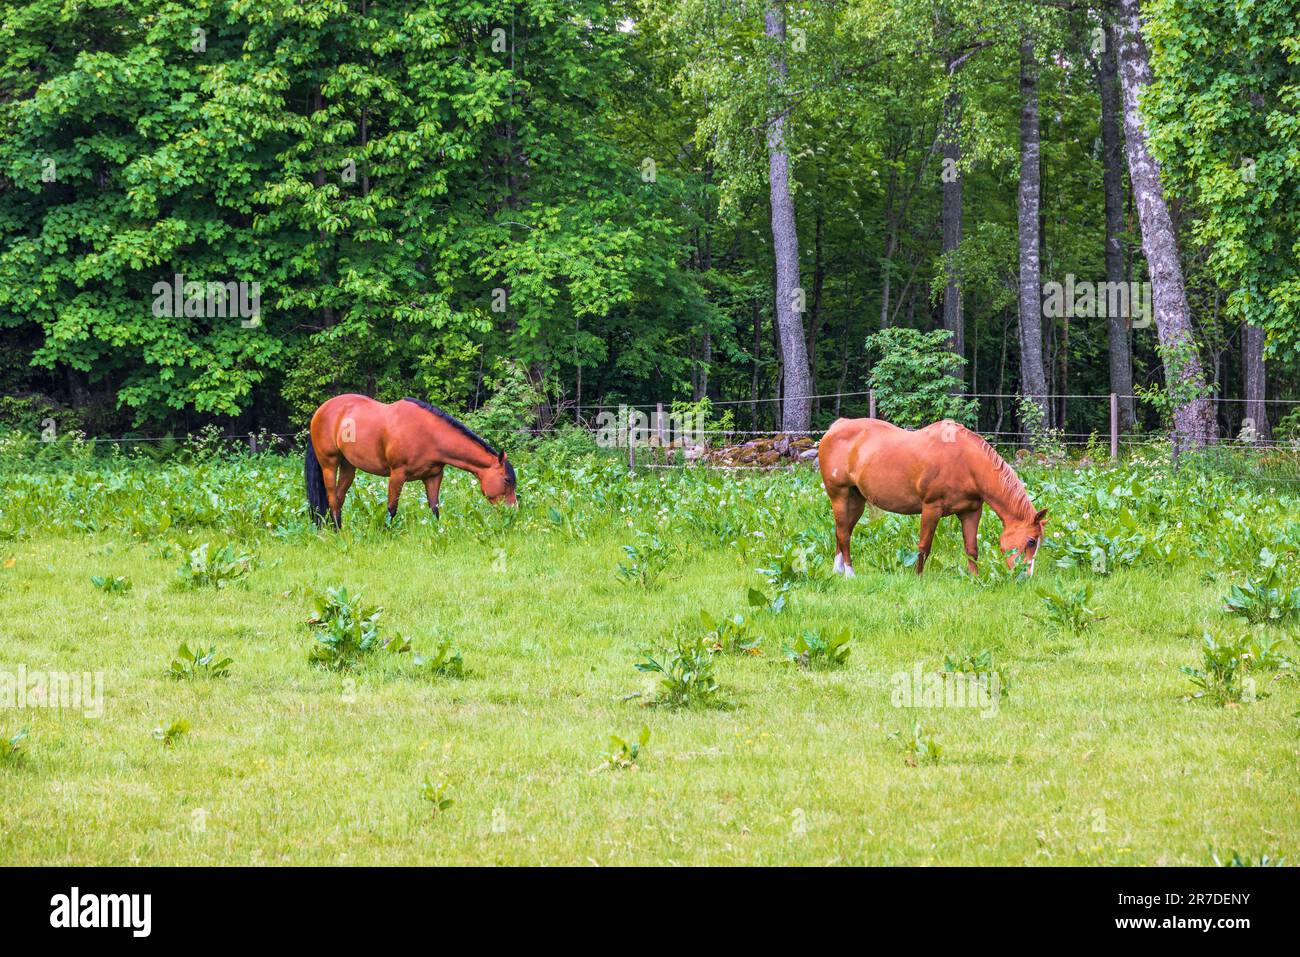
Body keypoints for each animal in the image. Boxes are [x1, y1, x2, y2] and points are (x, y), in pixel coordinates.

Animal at [305, 394, 517, 528]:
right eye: (507, 480)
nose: (513, 511)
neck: (429, 435)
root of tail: (320, 411)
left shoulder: (433, 476)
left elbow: (435, 508)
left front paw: (438, 532)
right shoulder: (397, 475)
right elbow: (391, 509)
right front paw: (387, 532)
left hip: (349, 467)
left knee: (339, 499)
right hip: (329, 465)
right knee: (333, 499)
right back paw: (337, 532)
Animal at [817, 417, 1047, 577]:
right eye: (1031, 540)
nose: (1025, 577)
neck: (965, 462)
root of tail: (837, 426)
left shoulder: (971, 511)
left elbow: (971, 549)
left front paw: (975, 578)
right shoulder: (931, 508)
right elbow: (924, 546)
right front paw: (918, 577)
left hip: (856, 500)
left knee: (842, 531)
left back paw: (837, 571)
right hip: (839, 495)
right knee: (844, 533)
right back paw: (849, 573)